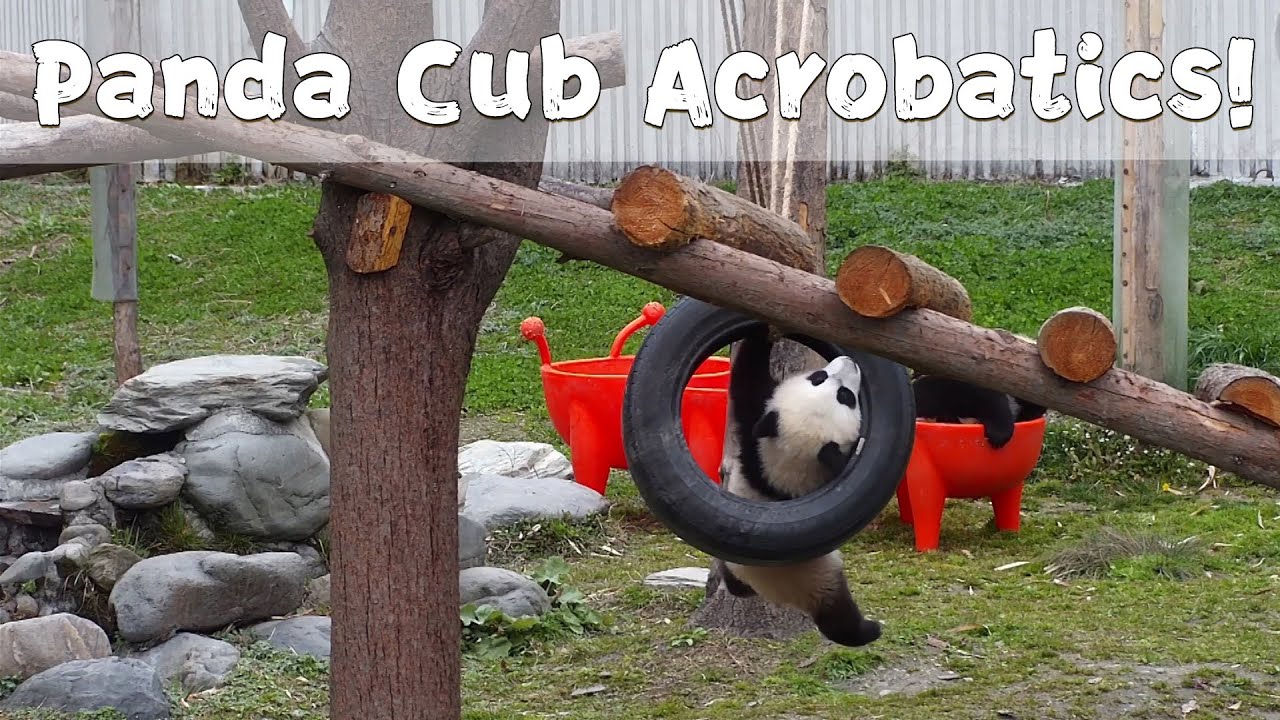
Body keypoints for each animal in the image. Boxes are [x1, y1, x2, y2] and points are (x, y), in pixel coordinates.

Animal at [711, 325, 882, 648]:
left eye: (818, 377)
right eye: (844, 396)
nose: (850, 362)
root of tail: (777, 597)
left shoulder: (757, 442)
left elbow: (746, 385)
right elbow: (749, 377)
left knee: (734, 581)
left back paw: (739, 588)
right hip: (820, 581)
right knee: (839, 622)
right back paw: (870, 629)